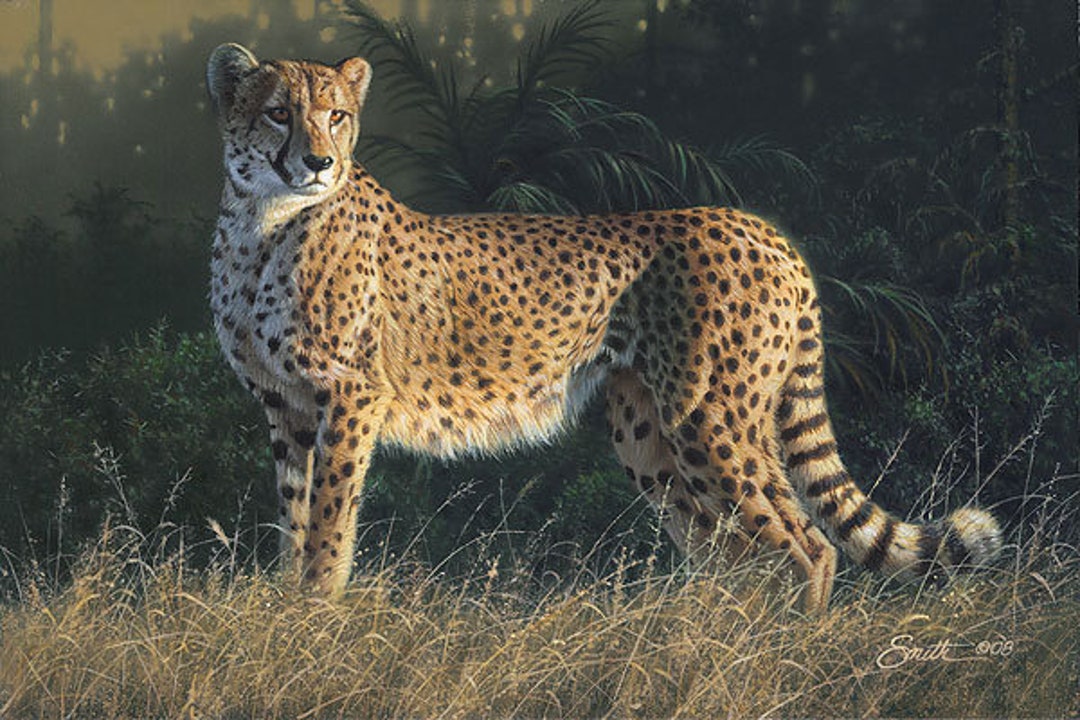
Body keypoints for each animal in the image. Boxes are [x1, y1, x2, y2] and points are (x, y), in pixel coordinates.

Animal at [206, 43, 1002, 613]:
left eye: (336, 115)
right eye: (278, 113)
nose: (318, 160)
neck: (262, 223)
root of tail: (759, 227)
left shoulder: (351, 396)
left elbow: (329, 519)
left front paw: (316, 615)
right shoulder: (285, 405)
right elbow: (293, 514)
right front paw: (284, 606)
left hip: (710, 418)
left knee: (807, 543)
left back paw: (788, 658)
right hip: (647, 427)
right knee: (728, 549)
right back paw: (712, 640)